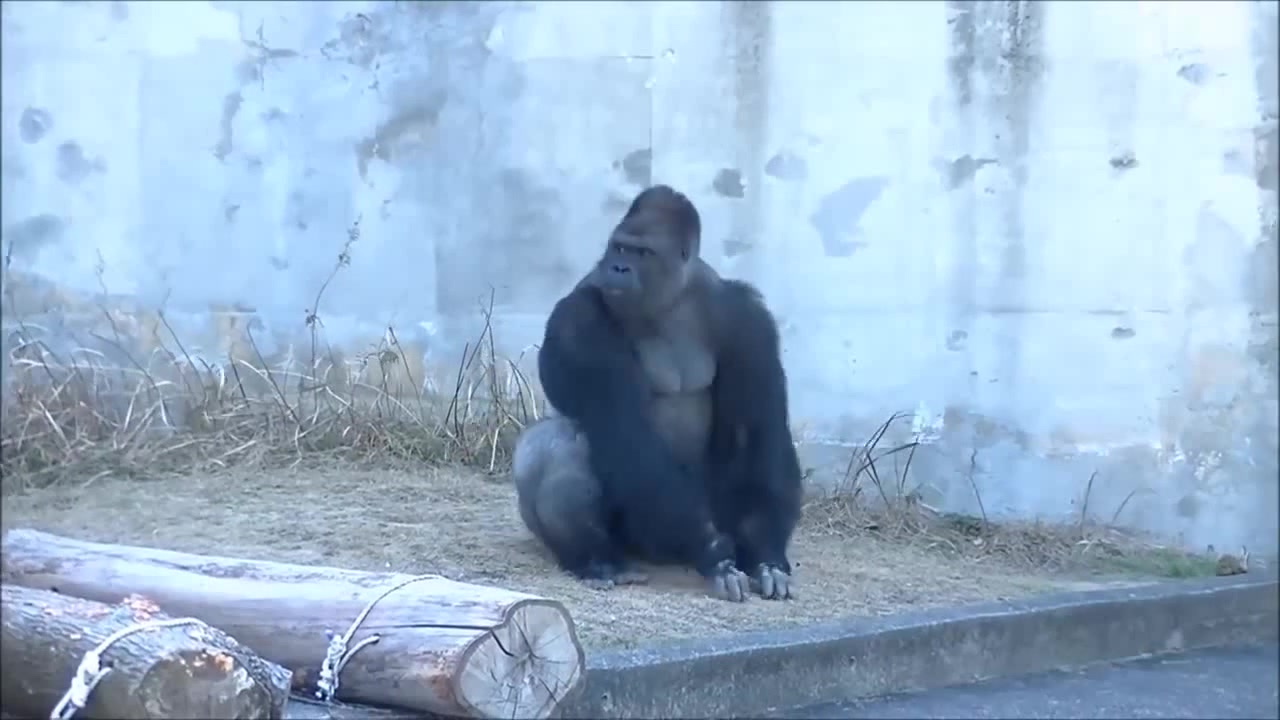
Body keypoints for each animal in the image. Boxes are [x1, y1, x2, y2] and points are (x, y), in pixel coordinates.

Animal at [512, 184, 802, 602]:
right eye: (619, 248)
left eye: (642, 253)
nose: (618, 268)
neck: (672, 299)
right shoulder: (576, 321)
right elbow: (625, 432)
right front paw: (712, 553)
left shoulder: (747, 317)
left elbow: (755, 433)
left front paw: (765, 553)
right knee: (552, 444)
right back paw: (596, 559)